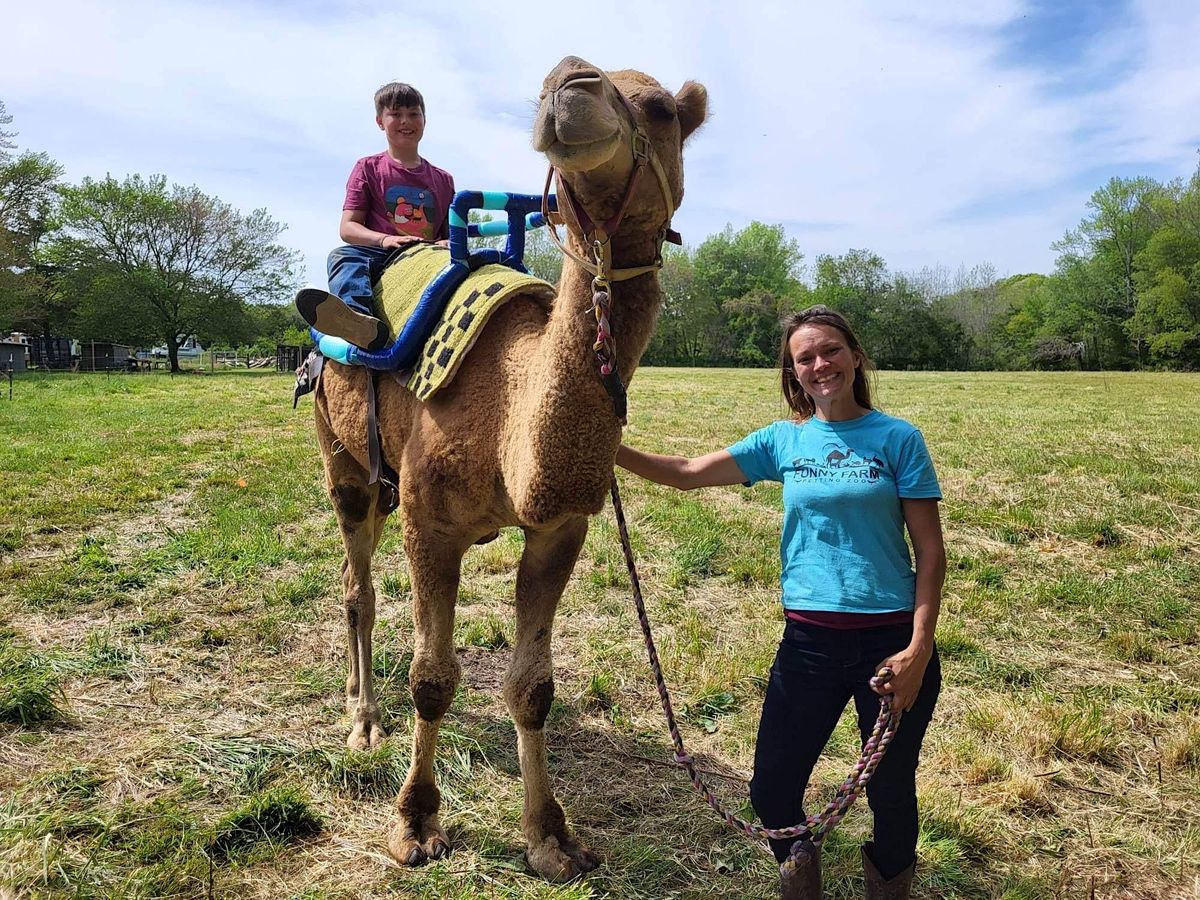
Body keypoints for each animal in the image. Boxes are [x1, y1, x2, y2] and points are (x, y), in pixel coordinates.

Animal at [311, 56, 707, 880]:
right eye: (561, 78)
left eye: (660, 108)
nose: (570, 83)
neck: (508, 418)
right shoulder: (430, 524)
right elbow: (431, 680)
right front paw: (415, 824)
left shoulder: (559, 527)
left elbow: (533, 688)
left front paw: (550, 837)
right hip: (343, 460)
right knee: (358, 588)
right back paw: (362, 720)